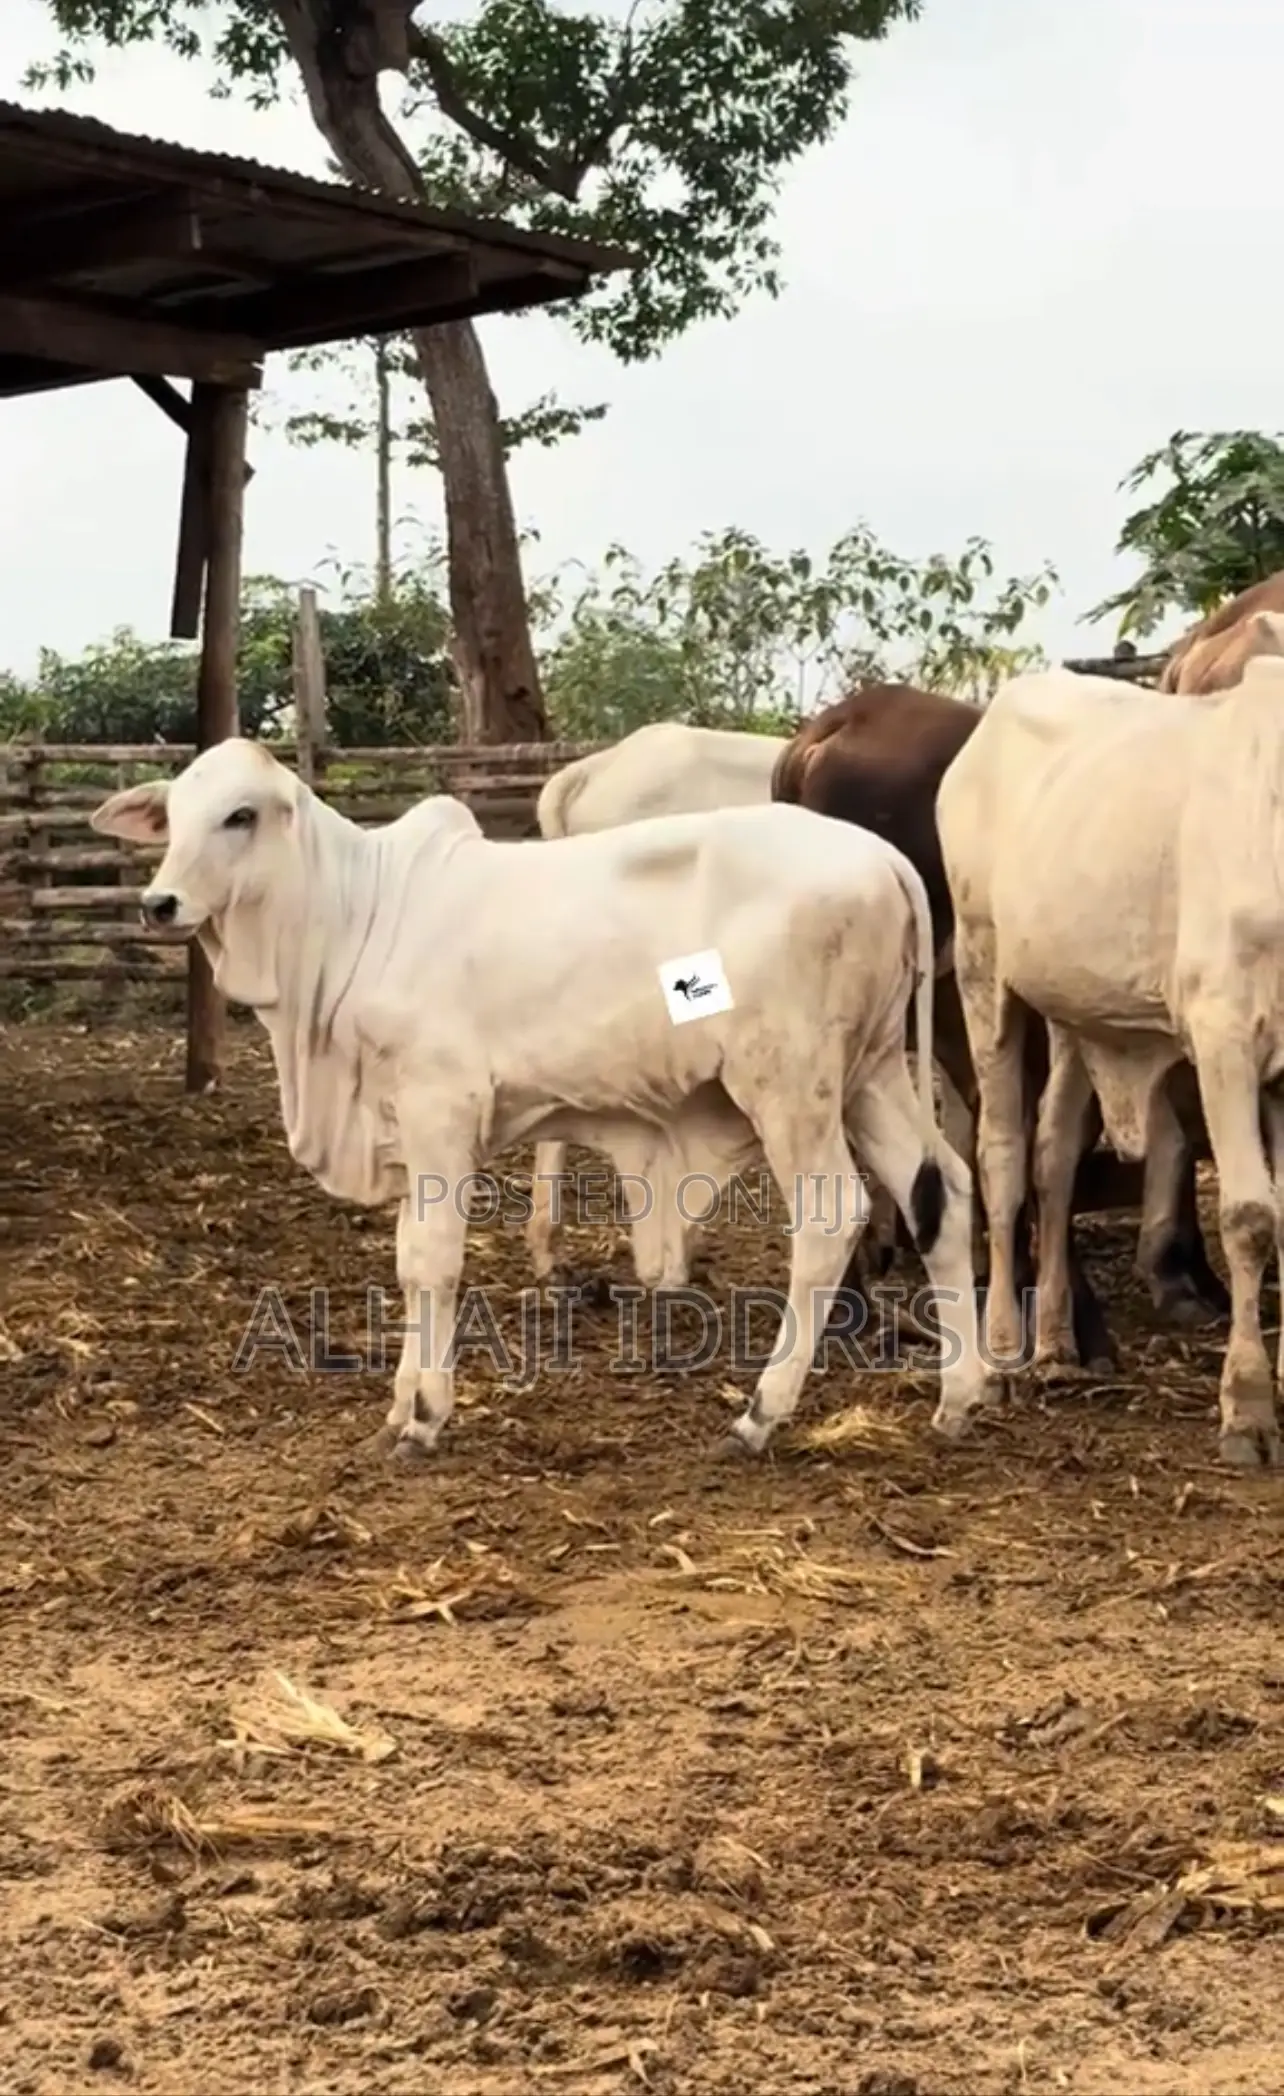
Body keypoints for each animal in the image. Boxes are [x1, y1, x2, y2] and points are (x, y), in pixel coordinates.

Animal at [91, 739, 988, 1460]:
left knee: (832, 1214)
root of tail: (884, 859)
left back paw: (760, 1415)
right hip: (871, 1072)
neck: (353, 922)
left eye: (239, 815)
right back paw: (958, 1398)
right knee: (940, 1190)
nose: (158, 903)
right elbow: (407, 1258)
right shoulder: (406, 1127)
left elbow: (432, 1260)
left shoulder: (441, 1111)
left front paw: (426, 1415)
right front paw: (399, 1407)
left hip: (790, 1081)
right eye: (172, 817)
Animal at [936, 657, 1284, 1467]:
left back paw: (1057, 1346)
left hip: (1075, 1013)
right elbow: (1252, 1216)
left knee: (1055, 1158)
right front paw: (1248, 1408)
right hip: (982, 964)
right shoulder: (1222, 1033)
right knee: (1002, 1156)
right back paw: (1000, 1355)